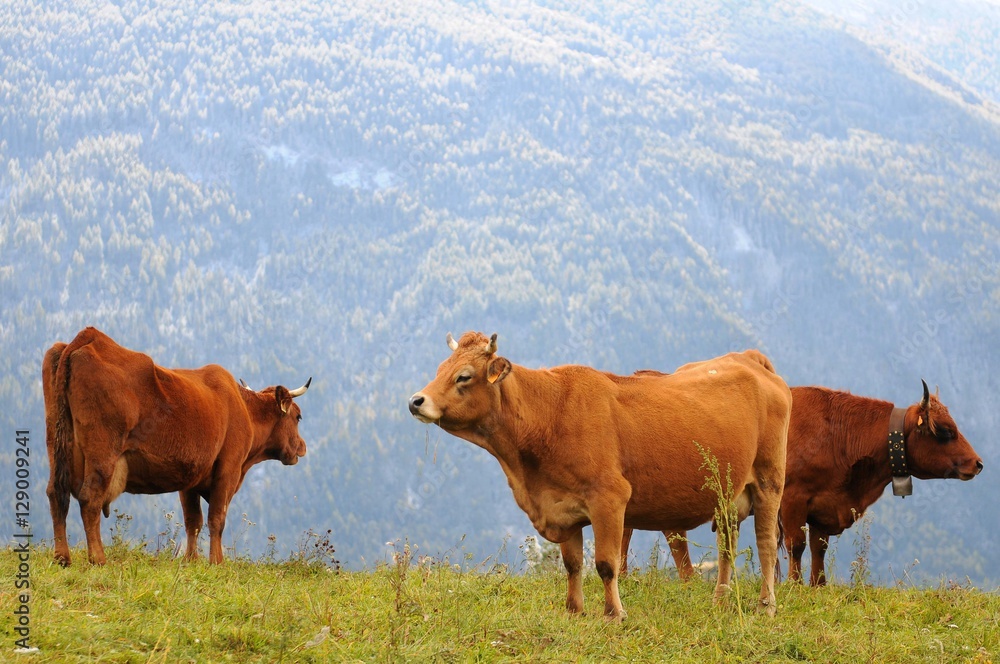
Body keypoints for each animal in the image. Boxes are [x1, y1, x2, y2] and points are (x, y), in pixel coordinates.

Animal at [43, 327, 311, 566]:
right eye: (298, 416)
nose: (302, 447)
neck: (243, 408)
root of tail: (87, 336)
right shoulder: (228, 469)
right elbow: (217, 519)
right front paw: (217, 562)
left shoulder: (191, 477)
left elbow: (193, 521)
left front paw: (191, 560)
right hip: (102, 453)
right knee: (89, 498)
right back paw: (98, 559)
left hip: (56, 445)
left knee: (57, 493)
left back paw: (62, 557)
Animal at [408, 332, 792, 619]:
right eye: (440, 369)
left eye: (464, 376)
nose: (416, 401)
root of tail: (746, 357)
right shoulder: (562, 506)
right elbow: (573, 564)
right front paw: (574, 611)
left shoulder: (609, 498)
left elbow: (606, 563)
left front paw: (613, 614)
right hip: (727, 494)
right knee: (727, 543)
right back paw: (720, 600)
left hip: (769, 479)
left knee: (766, 542)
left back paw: (766, 605)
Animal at [619, 382, 984, 585]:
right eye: (946, 431)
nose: (977, 463)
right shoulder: (793, 498)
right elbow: (797, 545)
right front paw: (794, 584)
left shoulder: (823, 506)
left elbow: (819, 548)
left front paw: (818, 586)